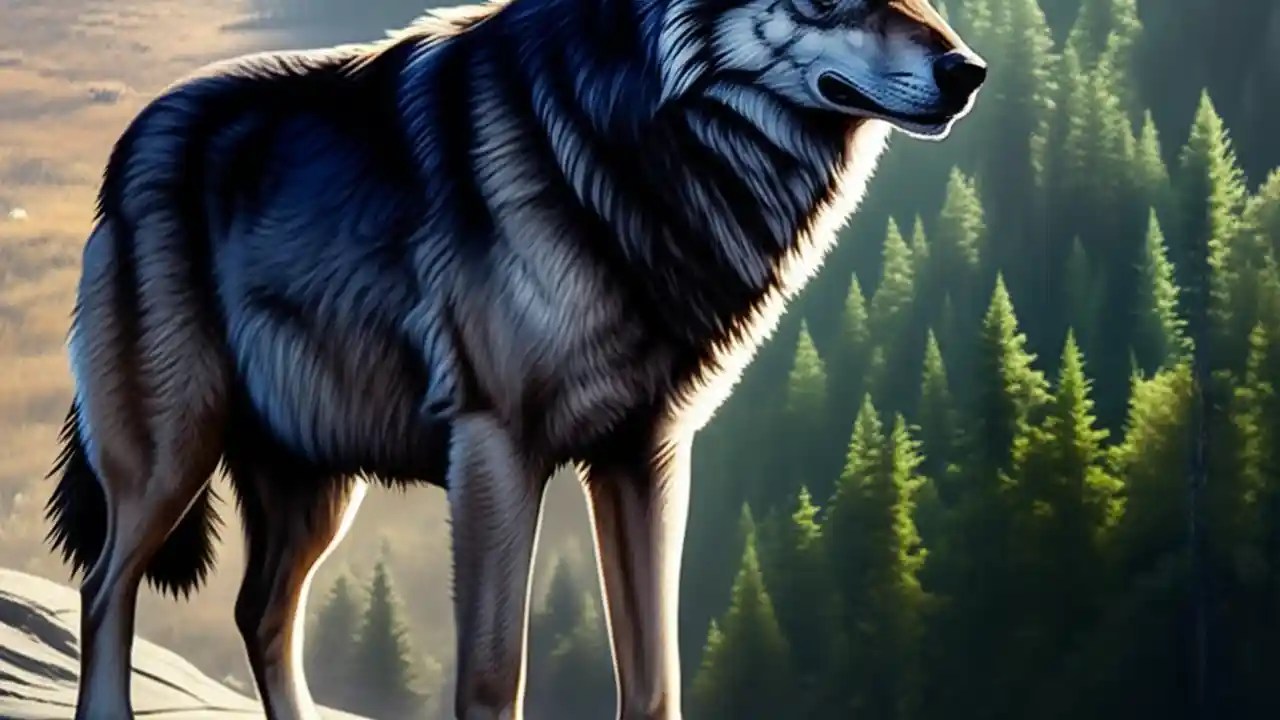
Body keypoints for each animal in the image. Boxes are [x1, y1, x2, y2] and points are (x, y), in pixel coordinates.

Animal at [44, 0, 984, 718]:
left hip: (318, 493)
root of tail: (128, 147)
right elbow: (494, 679)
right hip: (171, 461)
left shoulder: (648, 455)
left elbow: (654, 681)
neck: (631, 149)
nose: (970, 72)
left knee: (260, 613)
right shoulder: (496, 450)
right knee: (103, 588)